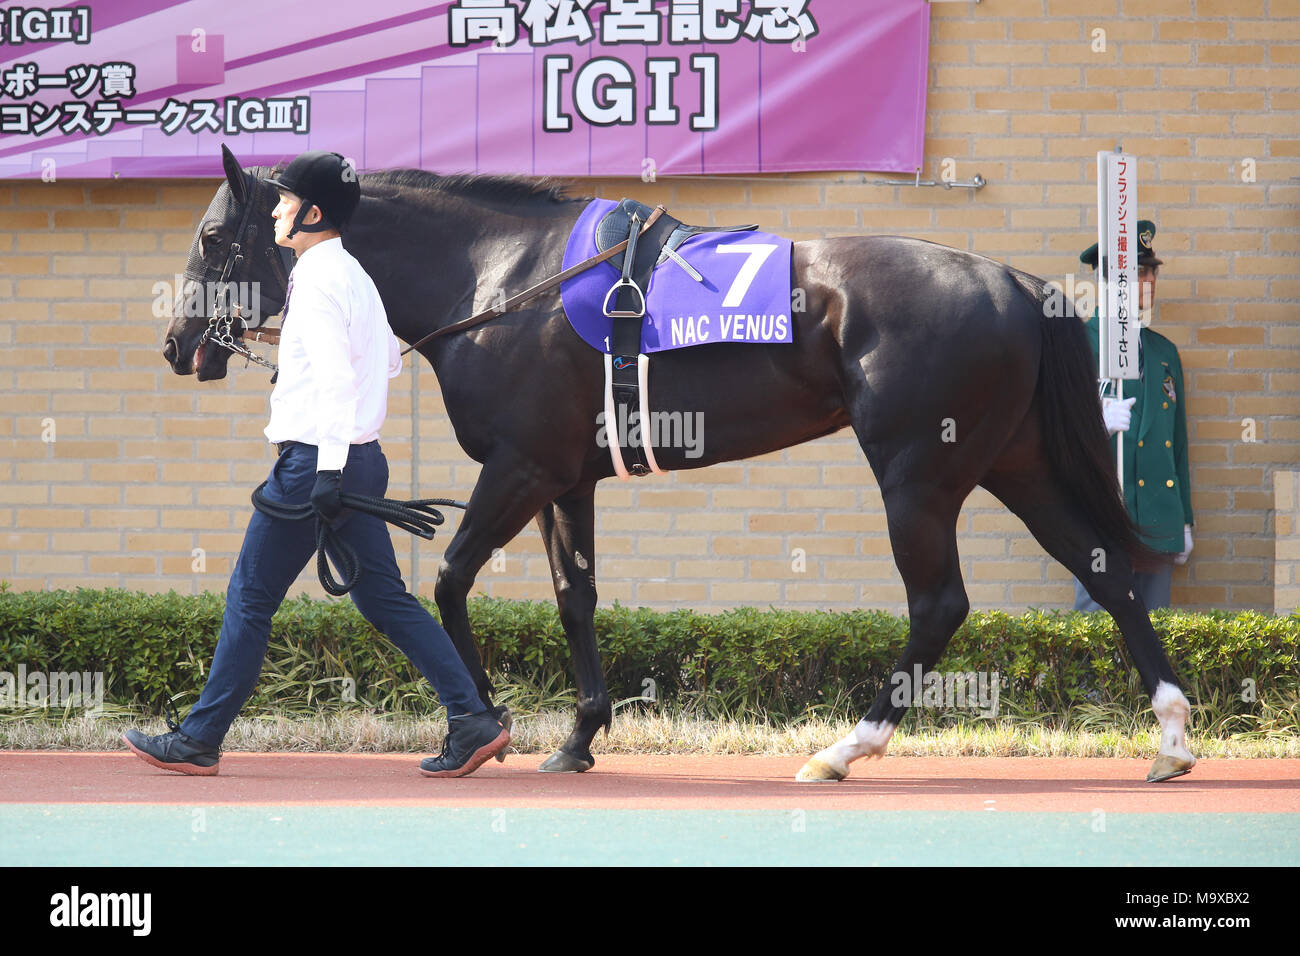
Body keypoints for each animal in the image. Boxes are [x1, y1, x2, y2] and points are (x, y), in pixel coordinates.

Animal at [161, 145, 1197, 784]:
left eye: (213, 237)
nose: (176, 347)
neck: (502, 278)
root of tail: (1014, 283)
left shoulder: (520, 467)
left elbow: (449, 579)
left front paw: (483, 724)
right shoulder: (567, 478)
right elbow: (574, 597)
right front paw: (579, 735)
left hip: (918, 473)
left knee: (940, 604)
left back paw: (842, 750)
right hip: (1012, 461)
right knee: (1107, 573)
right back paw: (1174, 735)